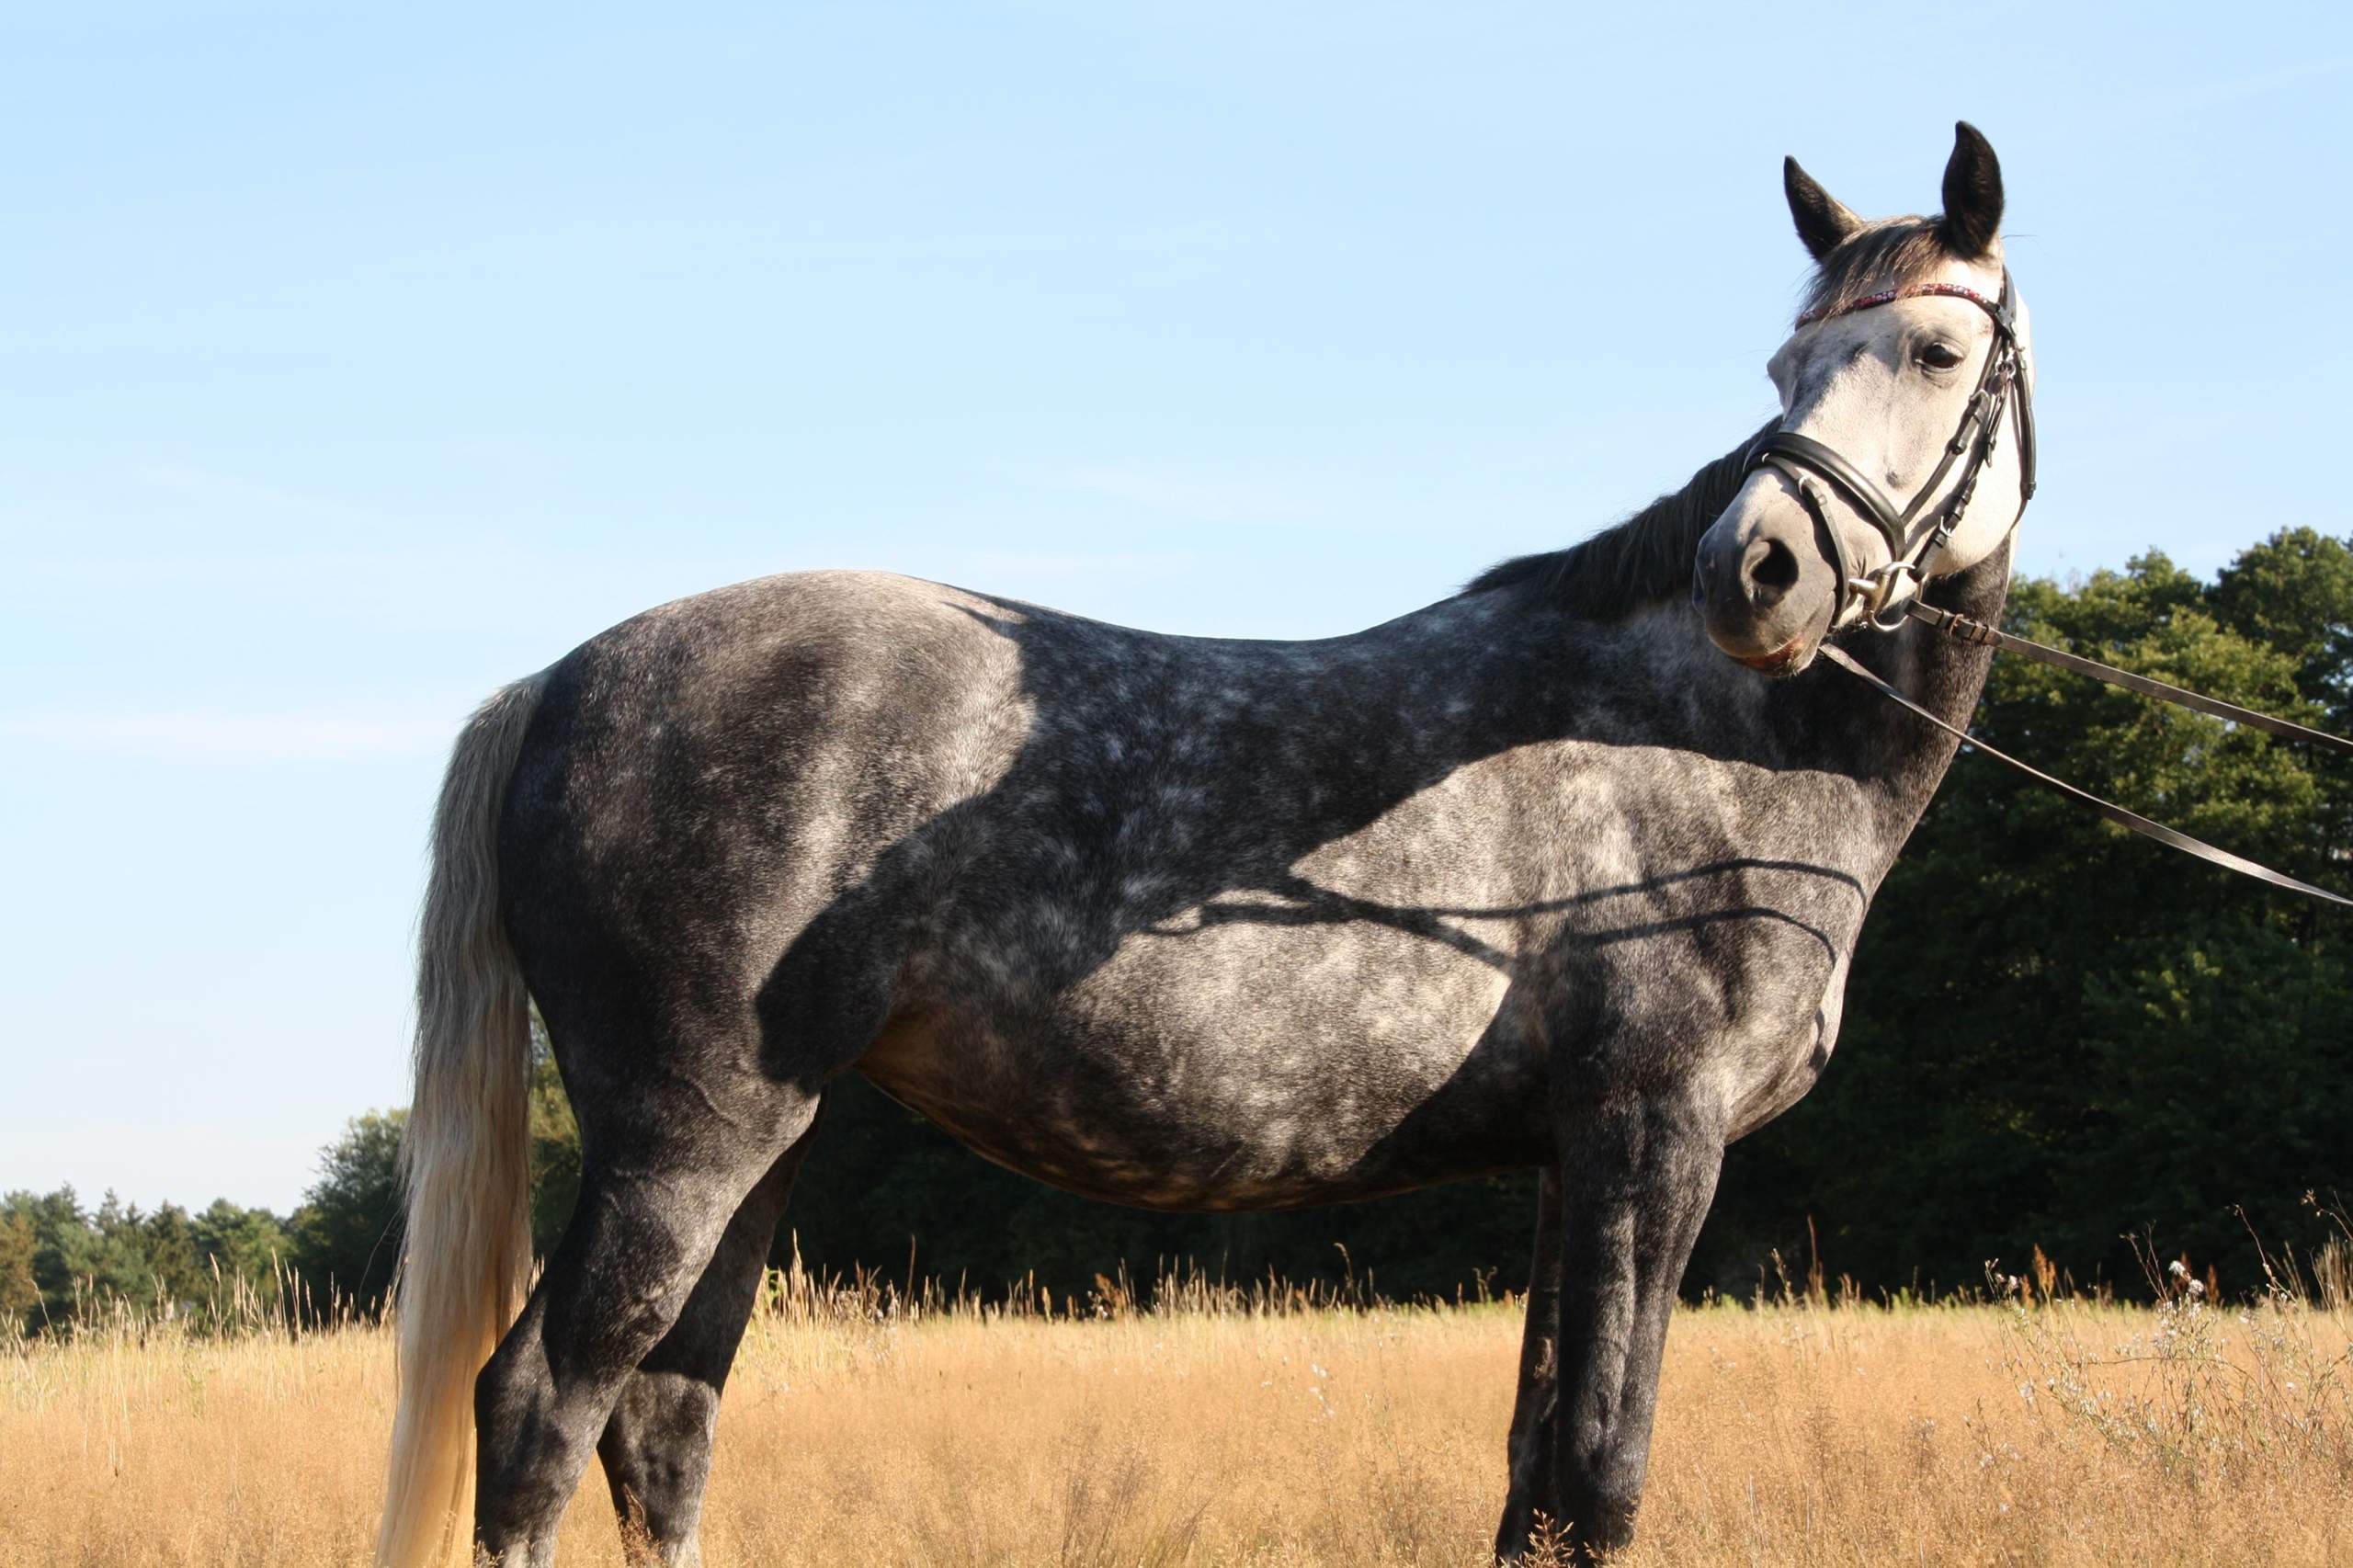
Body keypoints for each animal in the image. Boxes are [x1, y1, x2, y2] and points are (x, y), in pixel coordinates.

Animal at [374, 121, 2035, 1567]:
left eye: (1938, 352)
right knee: (541, 1405)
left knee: (662, 1424)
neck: (1693, 736)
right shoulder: (1654, 1134)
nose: (1756, 570)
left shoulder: (1579, 1160)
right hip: (683, 1140)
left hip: (768, 1143)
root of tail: (560, 681)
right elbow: (1601, 1474)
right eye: (1786, 365)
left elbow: (1538, 1476)